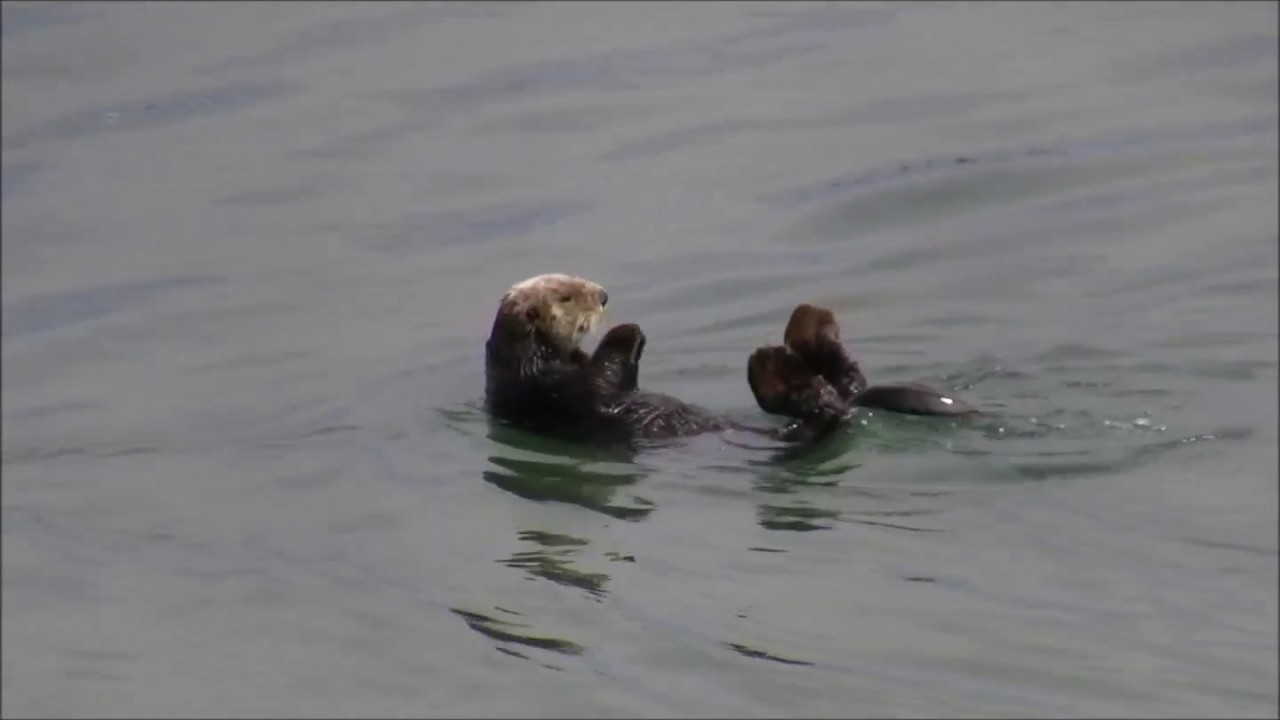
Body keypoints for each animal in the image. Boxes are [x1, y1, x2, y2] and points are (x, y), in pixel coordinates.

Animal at [483, 274, 974, 450]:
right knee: (823, 407)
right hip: (806, 425)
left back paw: (808, 326)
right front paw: (627, 330)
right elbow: (600, 382)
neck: (532, 359)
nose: (603, 295)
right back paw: (771, 363)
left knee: (844, 384)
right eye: (565, 296)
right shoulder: (549, 393)